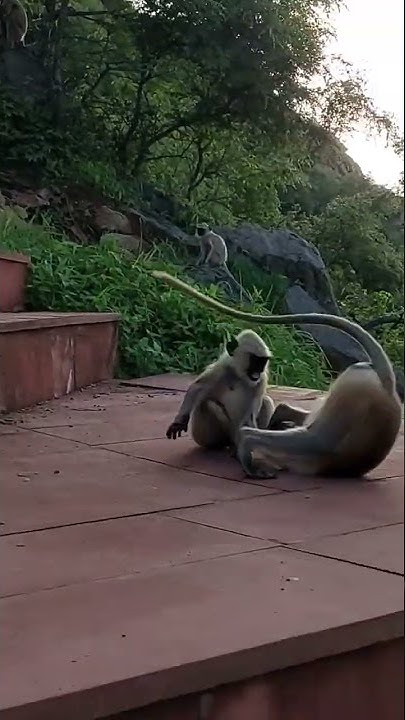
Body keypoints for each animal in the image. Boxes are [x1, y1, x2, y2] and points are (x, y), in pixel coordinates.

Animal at [152, 271, 402, 479]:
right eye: (254, 362)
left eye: (261, 363)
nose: (256, 371)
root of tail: (387, 385)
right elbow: (200, 387)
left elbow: (251, 427)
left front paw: (248, 450)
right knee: (211, 405)